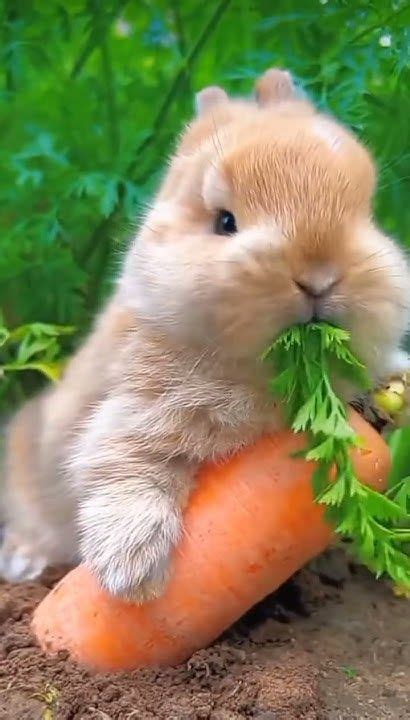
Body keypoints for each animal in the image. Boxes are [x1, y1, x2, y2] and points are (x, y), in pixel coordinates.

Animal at [1, 68, 409, 601]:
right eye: (225, 221)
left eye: (366, 213)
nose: (319, 276)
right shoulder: (132, 417)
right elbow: (124, 468)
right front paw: (131, 571)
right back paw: (24, 562)